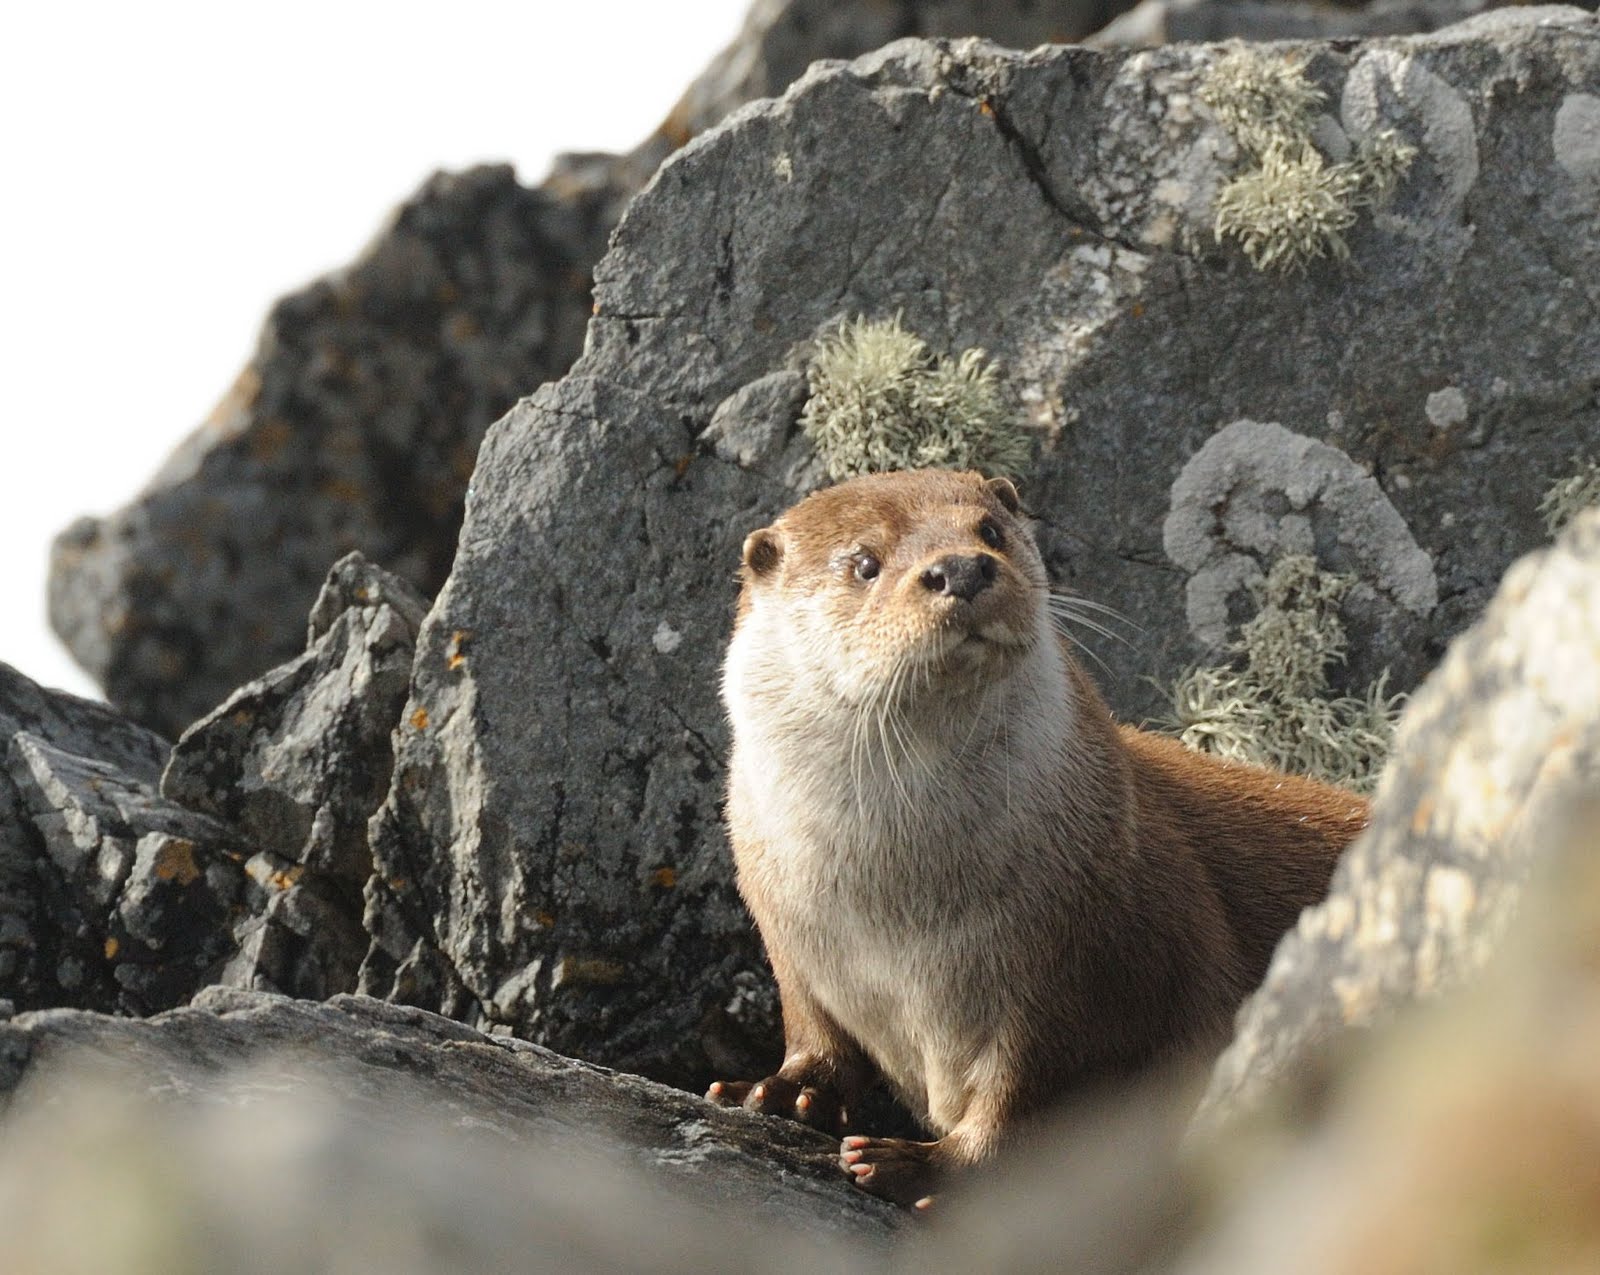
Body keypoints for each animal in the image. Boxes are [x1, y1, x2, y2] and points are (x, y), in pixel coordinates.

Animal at [706, 469, 1367, 1206]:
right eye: (864, 562)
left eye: (990, 530)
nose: (963, 568)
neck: (903, 914)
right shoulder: (790, 936)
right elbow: (815, 1030)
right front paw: (781, 1091)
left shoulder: (1081, 962)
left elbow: (1026, 1092)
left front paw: (922, 1164)